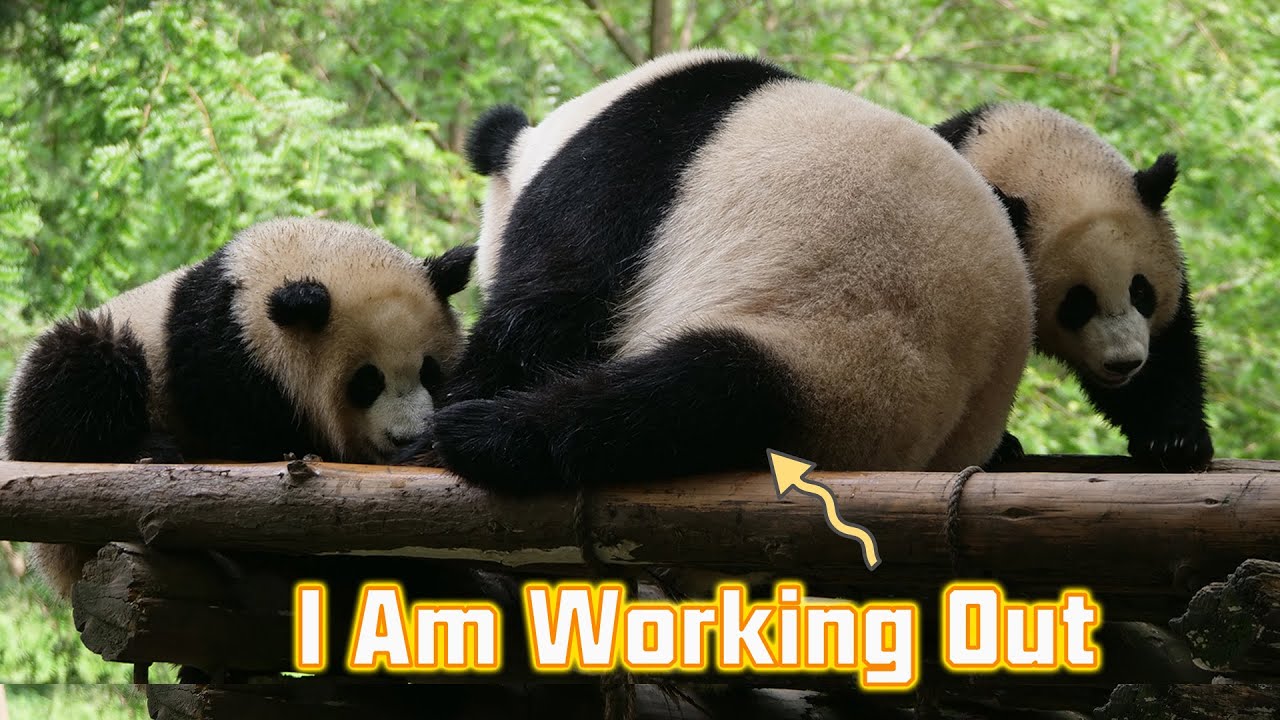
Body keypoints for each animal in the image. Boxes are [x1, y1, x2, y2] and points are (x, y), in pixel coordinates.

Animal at [3, 216, 475, 593]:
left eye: (430, 372)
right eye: (367, 382)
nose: (406, 436)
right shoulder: (229, 363)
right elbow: (254, 444)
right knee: (81, 369)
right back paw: (142, 449)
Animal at [401, 50, 1034, 492]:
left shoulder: (618, 174)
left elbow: (551, 306)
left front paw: (456, 398)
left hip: (829, 363)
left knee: (676, 400)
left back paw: (476, 434)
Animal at [934, 103, 1213, 471]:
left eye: (1141, 291)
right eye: (1078, 303)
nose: (1124, 363)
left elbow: (1169, 353)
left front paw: (1174, 442)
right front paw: (998, 446)